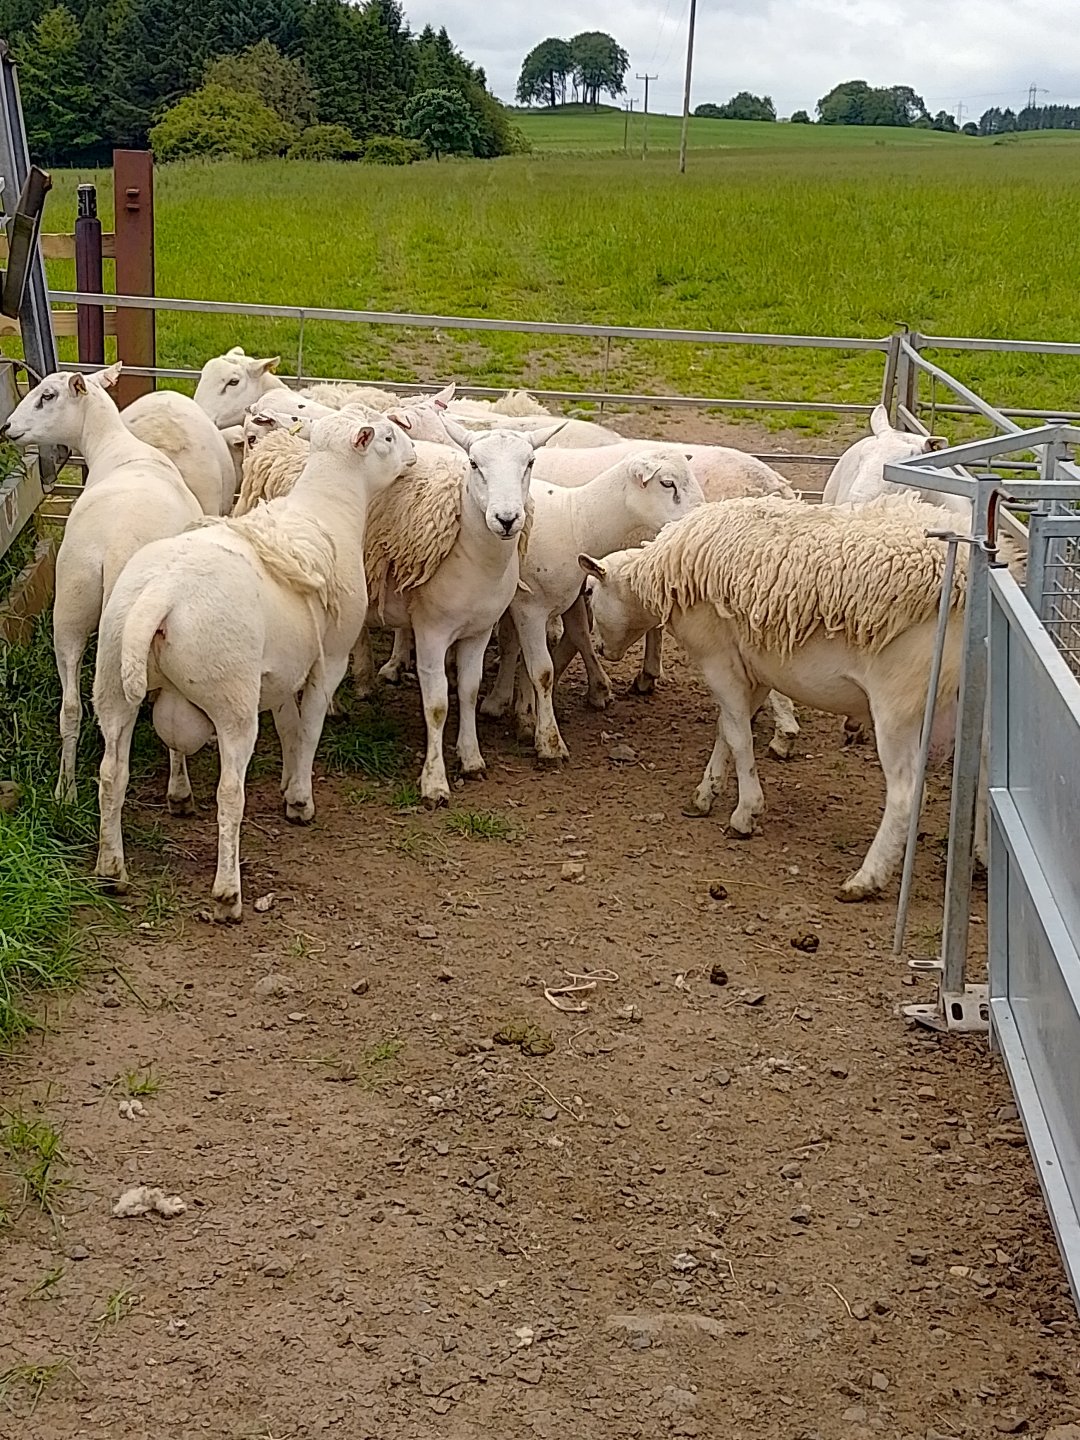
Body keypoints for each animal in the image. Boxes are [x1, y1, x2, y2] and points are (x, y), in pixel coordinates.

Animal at [1, 363, 202, 805]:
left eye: (47, 396)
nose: (6, 427)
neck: (114, 448)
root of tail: (111, 547)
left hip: (70, 603)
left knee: (71, 708)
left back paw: (65, 791)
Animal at [91, 412, 416, 922]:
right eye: (387, 436)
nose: (414, 454)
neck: (330, 507)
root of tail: (160, 595)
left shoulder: (279, 671)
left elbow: (288, 726)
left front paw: (287, 779)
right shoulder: (330, 658)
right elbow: (310, 727)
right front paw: (299, 798)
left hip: (112, 685)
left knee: (111, 776)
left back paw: (113, 869)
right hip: (232, 701)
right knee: (229, 794)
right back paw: (228, 894)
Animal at [578, 492, 974, 901]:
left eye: (589, 592)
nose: (601, 649)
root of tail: (963, 571)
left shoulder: (718, 660)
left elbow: (739, 738)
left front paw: (745, 813)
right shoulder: (754, 669)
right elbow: (726, 732)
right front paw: (706, 794)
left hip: (898, 704)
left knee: (906, 795)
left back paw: (866, 878)